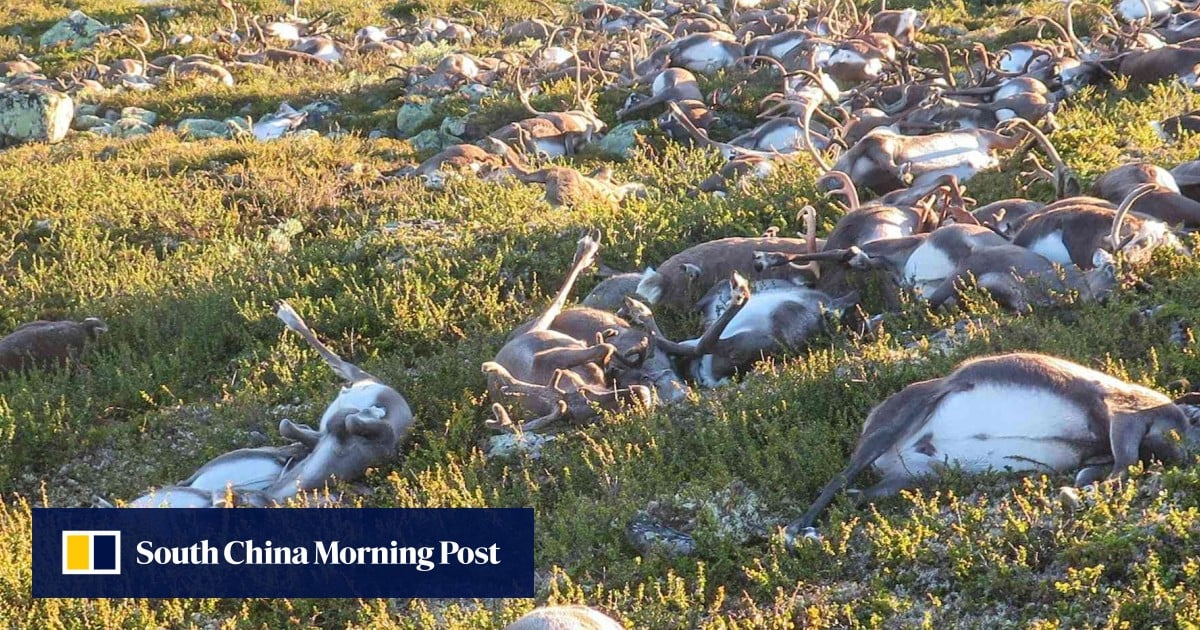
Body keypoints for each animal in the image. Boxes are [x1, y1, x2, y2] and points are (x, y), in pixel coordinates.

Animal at [264, 301, 414, 503]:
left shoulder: (387, 440)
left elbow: (349, 421)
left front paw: (374, 412)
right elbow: (286, 425)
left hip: (359, 375)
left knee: (336, 361)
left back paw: (285, 311)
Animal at [484, 232, 651, 433]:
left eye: (584, 391)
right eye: (592, 416)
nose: (641, 393)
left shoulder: (554, 358)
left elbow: (605, 348)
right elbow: (605, 347)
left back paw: (586, 247)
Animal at [786, 352, 1200, 539]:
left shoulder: (1104, 451)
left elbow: (1102, 470)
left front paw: (1076, 490)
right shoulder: (1124, 414)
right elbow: (1123, 465)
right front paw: (1073, 496)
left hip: (913, 480)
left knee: (859, 494)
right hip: (892, 427)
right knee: (839, 478)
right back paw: (798, 527)